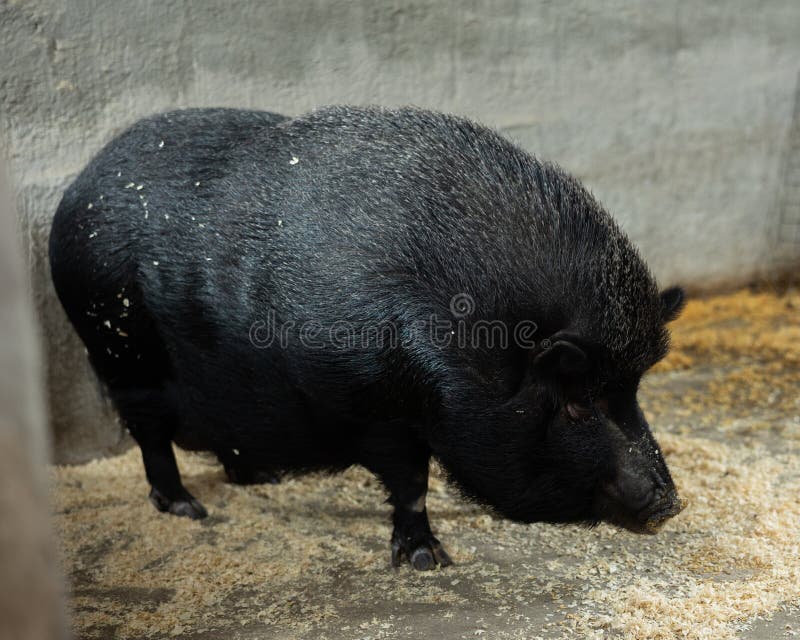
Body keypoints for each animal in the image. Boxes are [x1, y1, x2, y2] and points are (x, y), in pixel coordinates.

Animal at [49, 106, 686, 571]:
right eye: (577, 402)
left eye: (631, 391)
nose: (672, 503)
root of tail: (78, 187)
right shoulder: (379, 411)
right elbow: (411, 484)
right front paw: (430, 562)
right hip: (121, 356)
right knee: (152, 440)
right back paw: (189, 510)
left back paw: (262, 479)